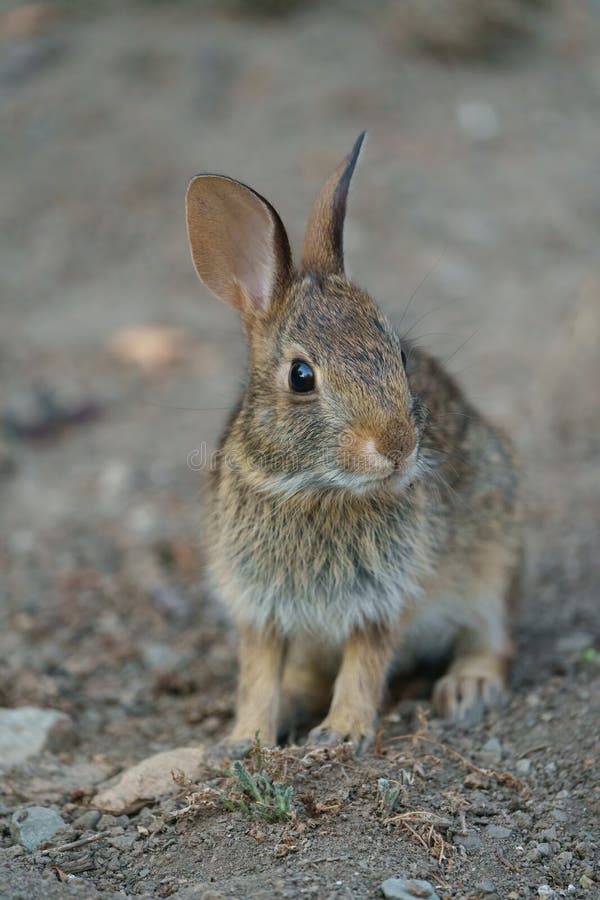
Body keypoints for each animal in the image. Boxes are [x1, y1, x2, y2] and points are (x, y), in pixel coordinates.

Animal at [185, 132, 522, 753]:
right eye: (301, 376)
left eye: (401, 356)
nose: (398, 448)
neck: (314, 489)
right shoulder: (259, 607)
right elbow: (258, 674)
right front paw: (245, 739)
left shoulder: (383, 598)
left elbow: (364, 664)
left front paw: (341, 733)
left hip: (492, 560)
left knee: (494, 637)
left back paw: (468, 687)